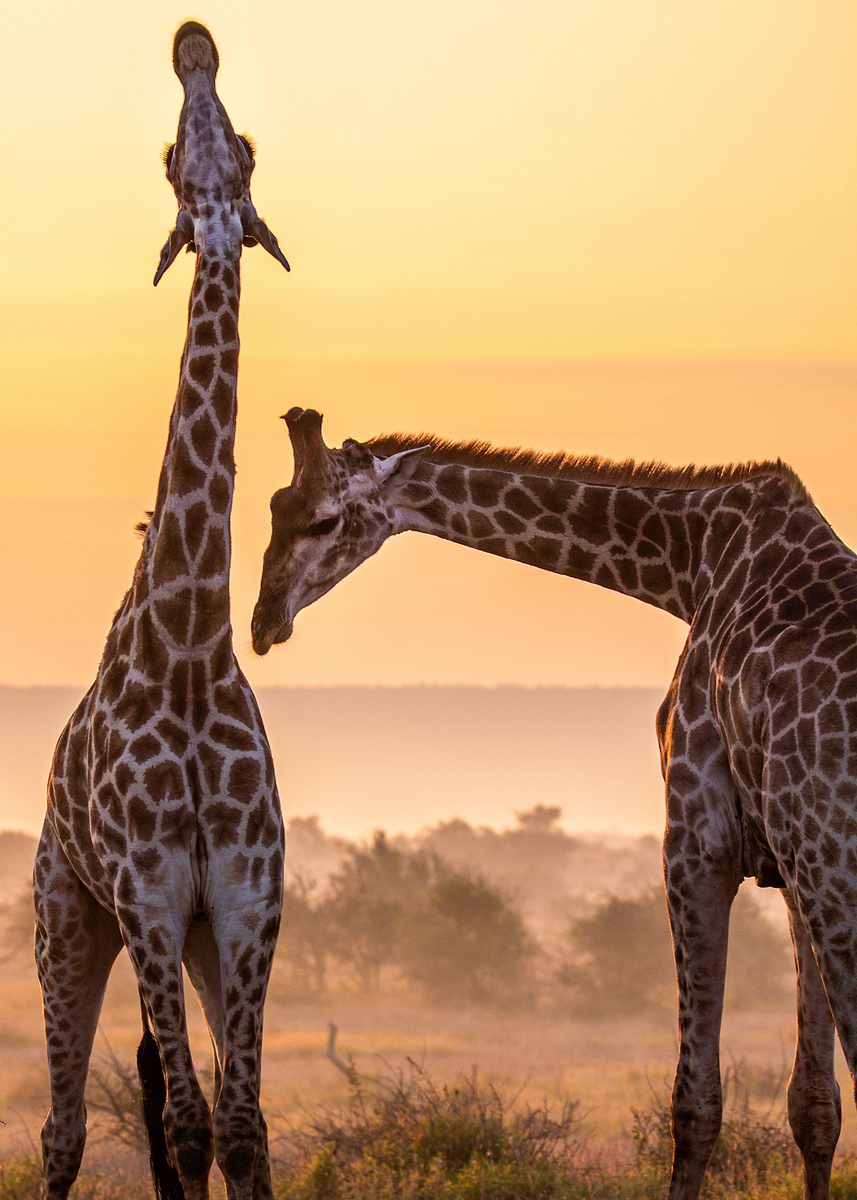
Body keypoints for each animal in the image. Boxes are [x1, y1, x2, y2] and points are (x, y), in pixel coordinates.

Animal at [252, 408, 855, 1200]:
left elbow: (695, 1102)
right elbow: (813, 1105)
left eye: (323, 519)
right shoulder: (785, 865)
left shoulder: (699, 843)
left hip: (835, 870)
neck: (688, 563)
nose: (263, 621)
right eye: (273, 508)